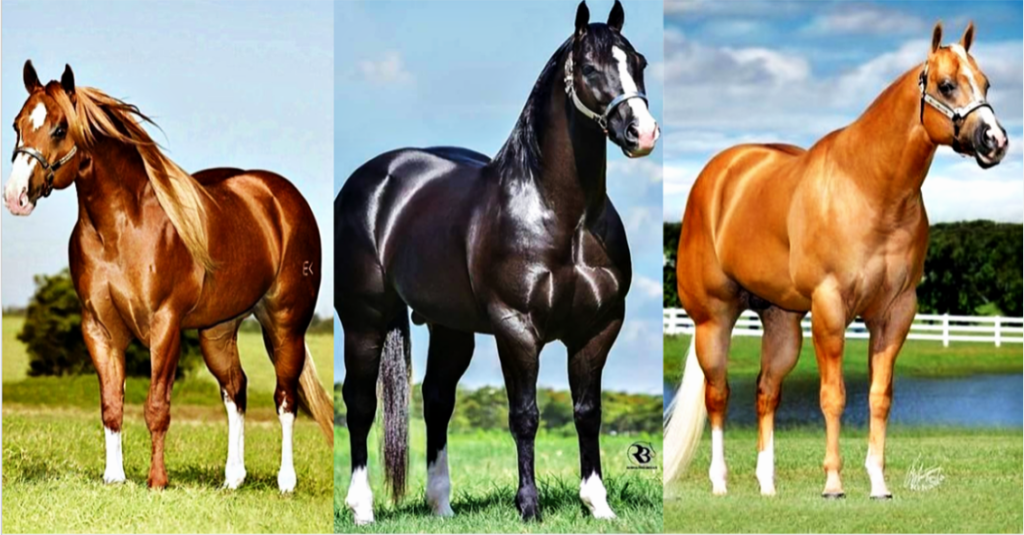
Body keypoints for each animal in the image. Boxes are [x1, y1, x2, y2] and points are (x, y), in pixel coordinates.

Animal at [3, 62, 334, 492]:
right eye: (17, 124)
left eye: (60, 128)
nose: (15, 196)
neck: (120, 228)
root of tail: (281, 198)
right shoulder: (99, 329)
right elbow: (112, 405)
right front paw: (114, 477)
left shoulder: (164, 325)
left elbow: (157, 406)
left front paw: (157, 481)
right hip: (217, 331)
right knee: (237, 390)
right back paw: (233, 479)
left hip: (286, 324)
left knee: (285, 397)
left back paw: (286, 481)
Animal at [335, 0, 658, 524]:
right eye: (590, 68)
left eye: (639, 62)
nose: (642, 133)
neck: (561, 213)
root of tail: (374, 178)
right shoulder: (516, 327)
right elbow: (524, 415)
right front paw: (529, 506)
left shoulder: (599, 327)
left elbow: (587, 413)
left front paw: (598, 503)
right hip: (364, 318)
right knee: (361, 403)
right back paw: (362, 506)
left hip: (451, 329)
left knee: (437, 400)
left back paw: (440, 505)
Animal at [664, 22, 1007, 499]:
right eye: (946, 84)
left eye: (986, 83)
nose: (996, 142)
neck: (868, 188)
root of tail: (719, 174)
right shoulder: (830, 307)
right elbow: (833, 395)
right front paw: (832, 484)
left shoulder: (896, 312)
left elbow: (879, 396)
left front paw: (879, 483)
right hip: (712, 319)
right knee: (719, 394)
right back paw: (720, 482)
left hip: (782, 322)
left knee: (766, 392)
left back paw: (767, 484)